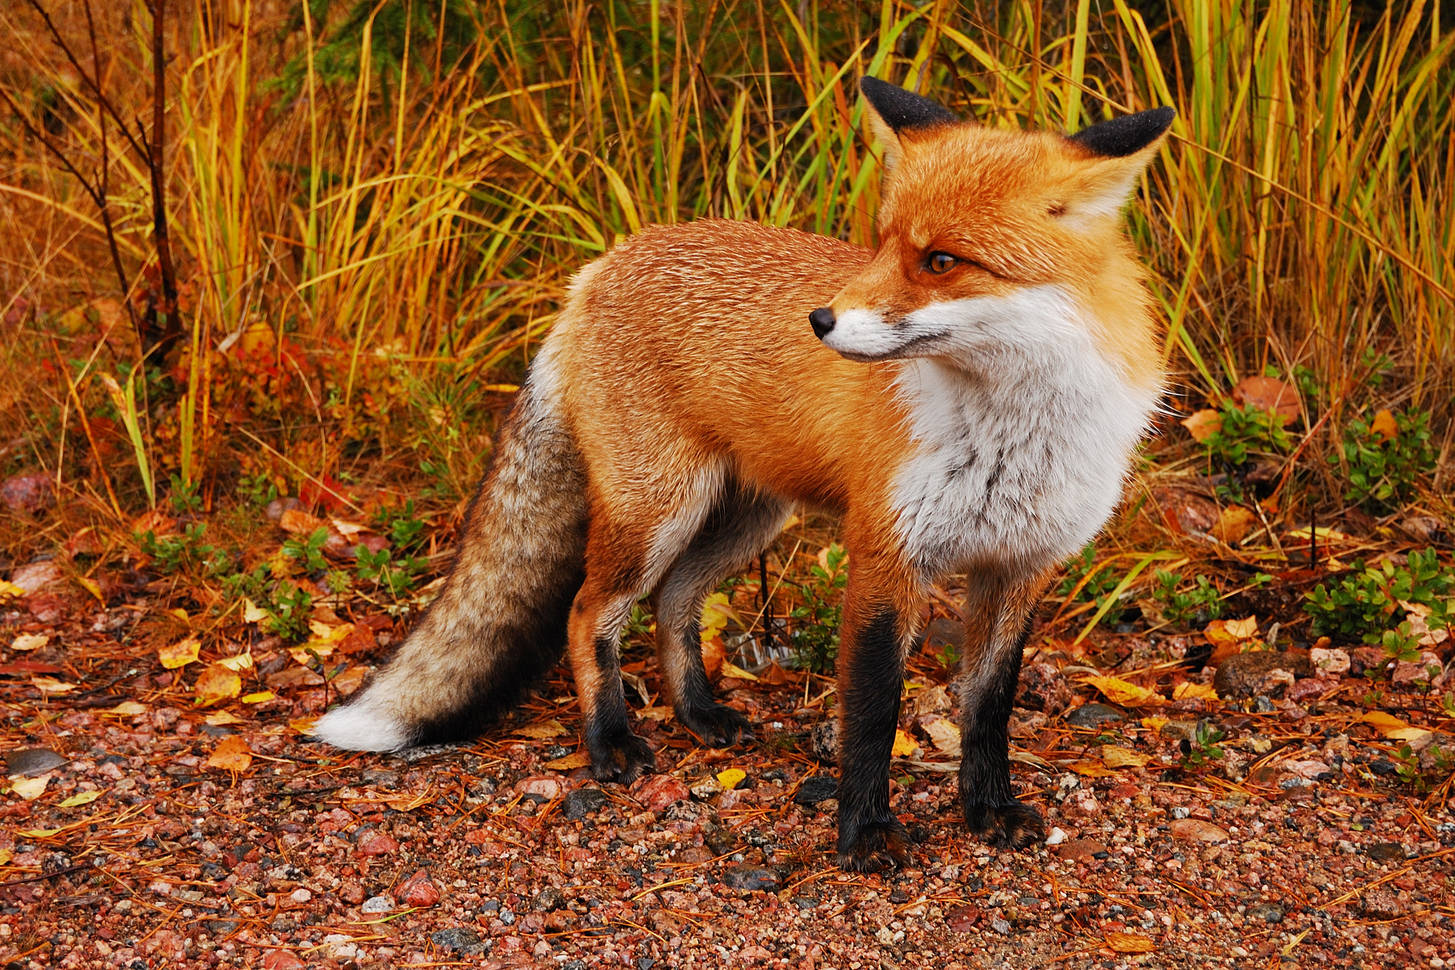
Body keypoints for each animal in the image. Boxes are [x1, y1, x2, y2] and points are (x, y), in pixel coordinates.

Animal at [312, 77, 1174, 872]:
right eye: (881, 244)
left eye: (940, 262)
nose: (820, 320)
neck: (1009, 437)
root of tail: (604, 262)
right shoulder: (885, 557)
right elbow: (872, 715)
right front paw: (865, 832)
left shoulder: (1020, 567)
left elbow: (986, 710)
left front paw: (988, 810)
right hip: (657, 511)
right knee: (589, 613)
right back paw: (609, 740)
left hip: (744, 519)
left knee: (673, 601)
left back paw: (698, 712)